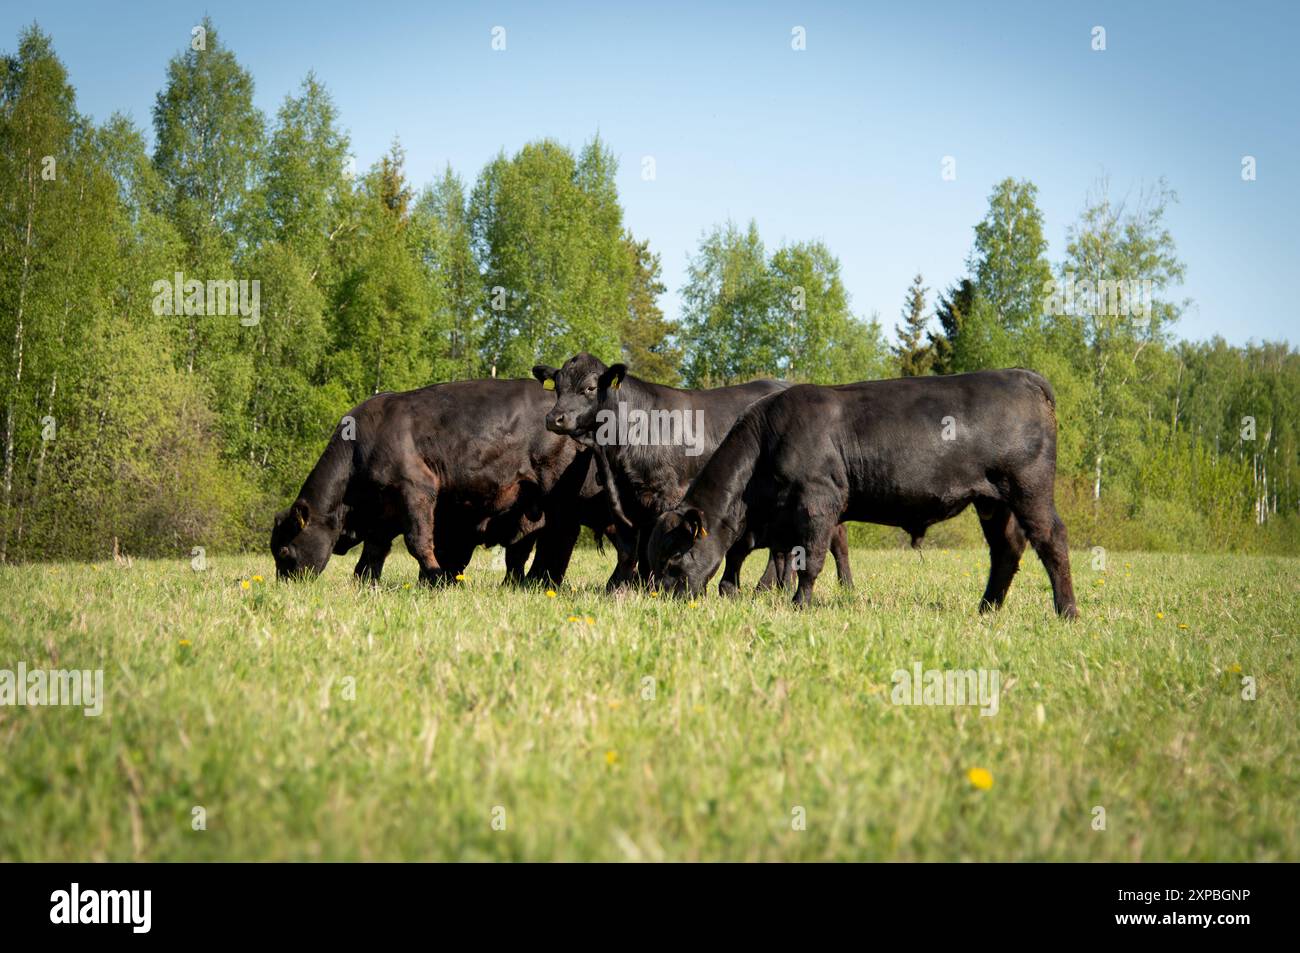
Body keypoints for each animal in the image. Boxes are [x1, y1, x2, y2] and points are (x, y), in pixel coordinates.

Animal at [271, 378, 629, 586]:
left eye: (285, 549)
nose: (284, 584)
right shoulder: (383, 512)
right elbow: (374, 552)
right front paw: (364, 584)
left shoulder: (417, 490)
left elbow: (418, 542)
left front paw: (437, 578)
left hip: (561, 498)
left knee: (562, 540)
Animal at [531, 353, 852, 594]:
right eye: (557, 387)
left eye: (588, 388)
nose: (554, 418)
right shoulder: (621, 498)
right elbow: (632, 545)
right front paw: (624, 587)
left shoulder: (668, 493)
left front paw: (649, 586)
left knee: (833, 537)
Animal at [646, 369, 1078, 616]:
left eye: (674, 558)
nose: (661, 597)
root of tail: (1021, 375)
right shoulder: (772, 520)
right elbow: (744, 552)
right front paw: (732, 592)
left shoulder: (819, 501)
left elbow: (810, 560)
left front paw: (800, 605)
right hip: (992, 500)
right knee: (1006, 548)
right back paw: (987, 608)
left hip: (1028, 485)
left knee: (1051, 538)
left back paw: (1067, 611)